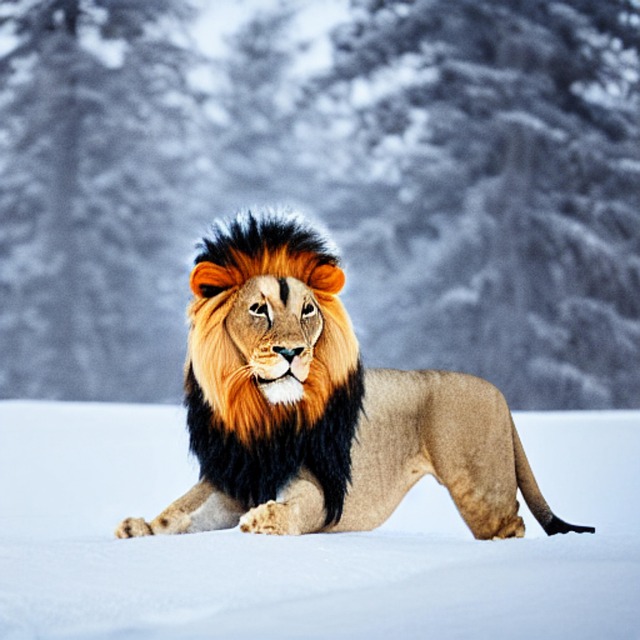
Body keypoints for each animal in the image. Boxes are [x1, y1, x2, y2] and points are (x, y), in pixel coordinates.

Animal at [115, 212, 594, 540]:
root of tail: (498, 392)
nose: (291, 352)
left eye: (307, 310)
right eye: (258, 309)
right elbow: (180, 512)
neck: (263, 411)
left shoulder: (319, 484)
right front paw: (140, 527)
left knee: (511, 525)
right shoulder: (234, 478)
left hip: (479, 485)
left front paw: (265, 518)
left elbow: (297, 507)